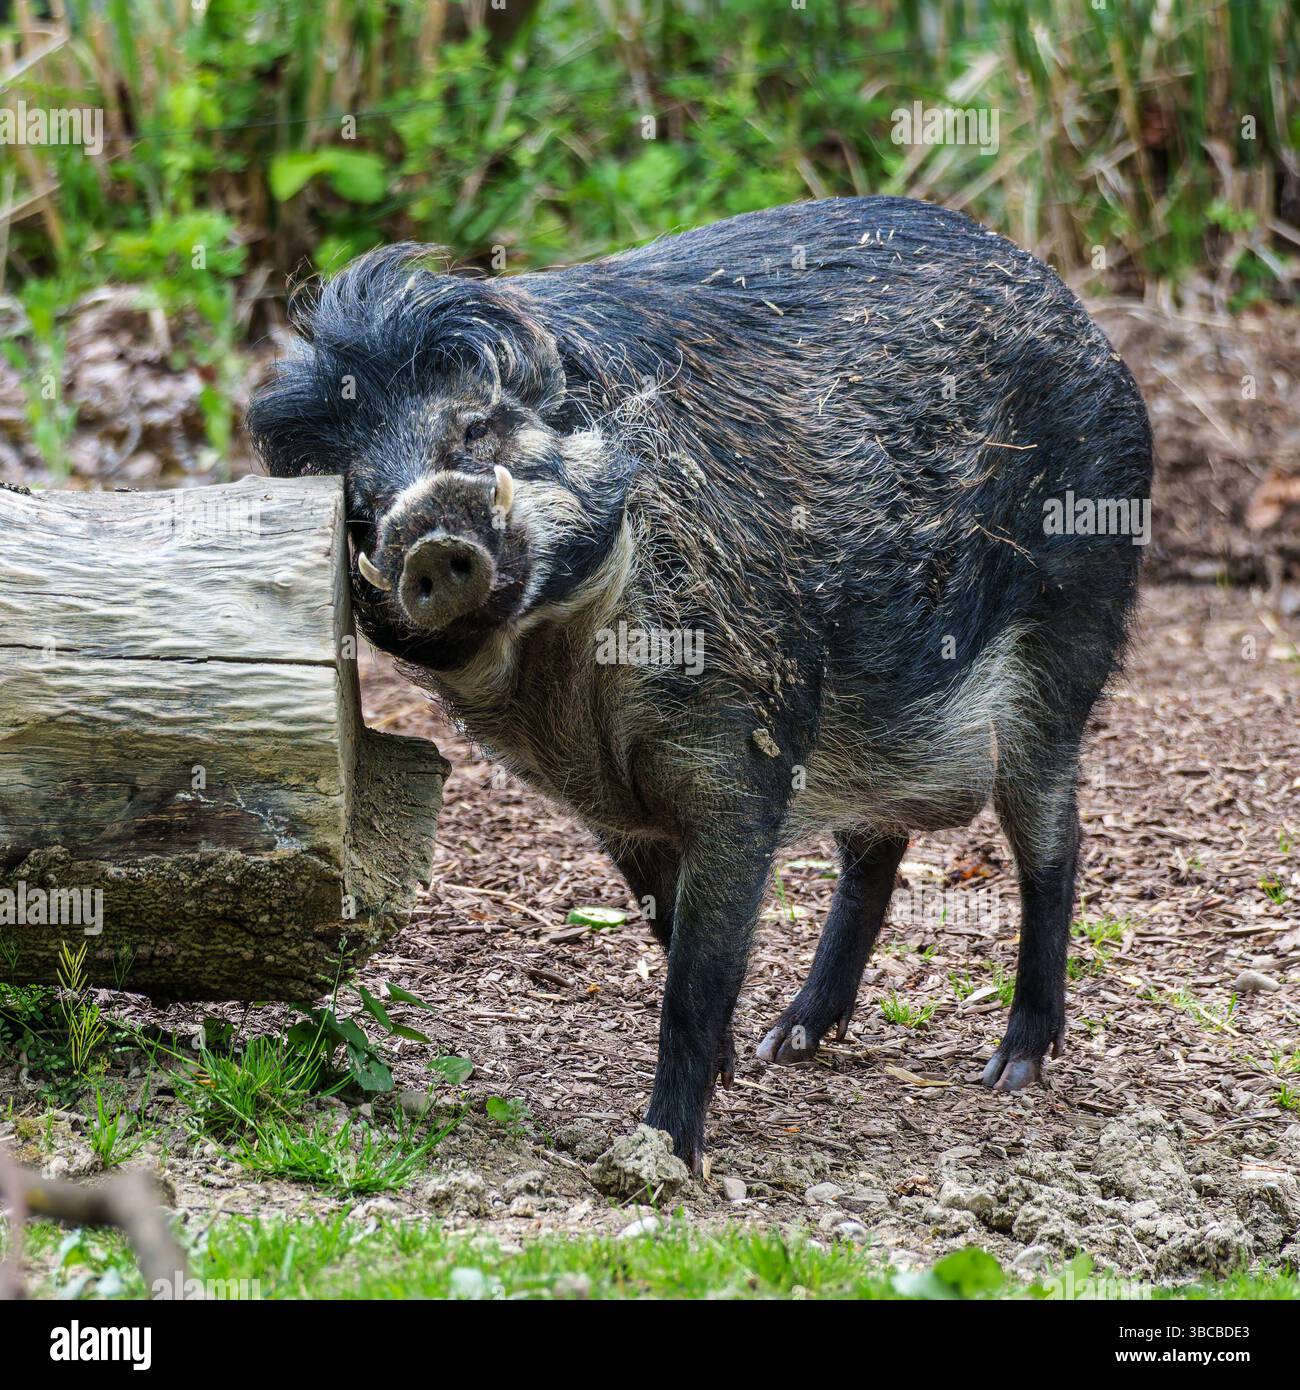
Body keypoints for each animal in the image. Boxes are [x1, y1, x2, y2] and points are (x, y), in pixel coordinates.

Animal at [248, 197, 1153, 1171]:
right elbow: (665, 927)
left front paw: (663, 1158)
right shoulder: (608, 810)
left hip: (1068, 647)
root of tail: (1076, 313)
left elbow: (696, 973)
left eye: (475, 431)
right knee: (875, 845)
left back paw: (1010, 1070)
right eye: (362, 507)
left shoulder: (740, 752)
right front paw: (726, 1069)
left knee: (1055, 843)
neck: (565, 664)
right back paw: (788, 1042)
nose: (429, 540)